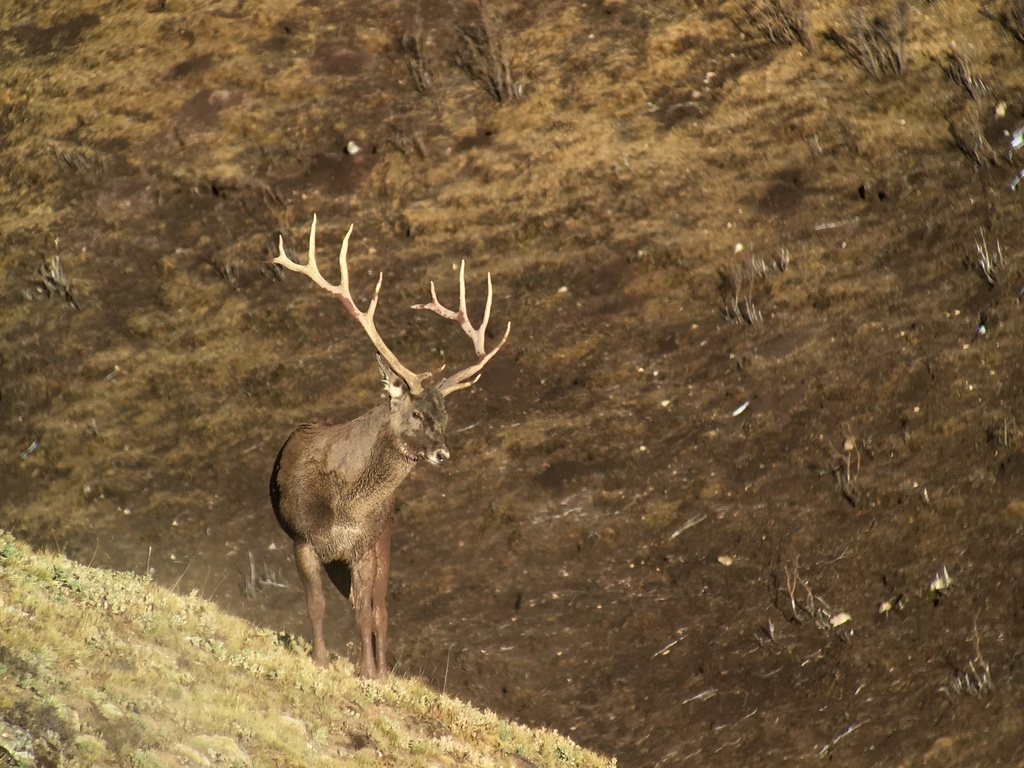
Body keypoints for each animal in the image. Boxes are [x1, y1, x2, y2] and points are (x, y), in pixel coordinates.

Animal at [268, 215, 510, 679]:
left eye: (445, 415)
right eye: (416, 413)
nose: (443, 454)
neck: (343, 505)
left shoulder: (365, 545)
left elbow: (366, 613)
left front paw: (369, 673)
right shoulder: (302, 538)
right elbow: (315, 605)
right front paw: (321, 661)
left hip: (383, 540)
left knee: (380, 609)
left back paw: (382, 668)